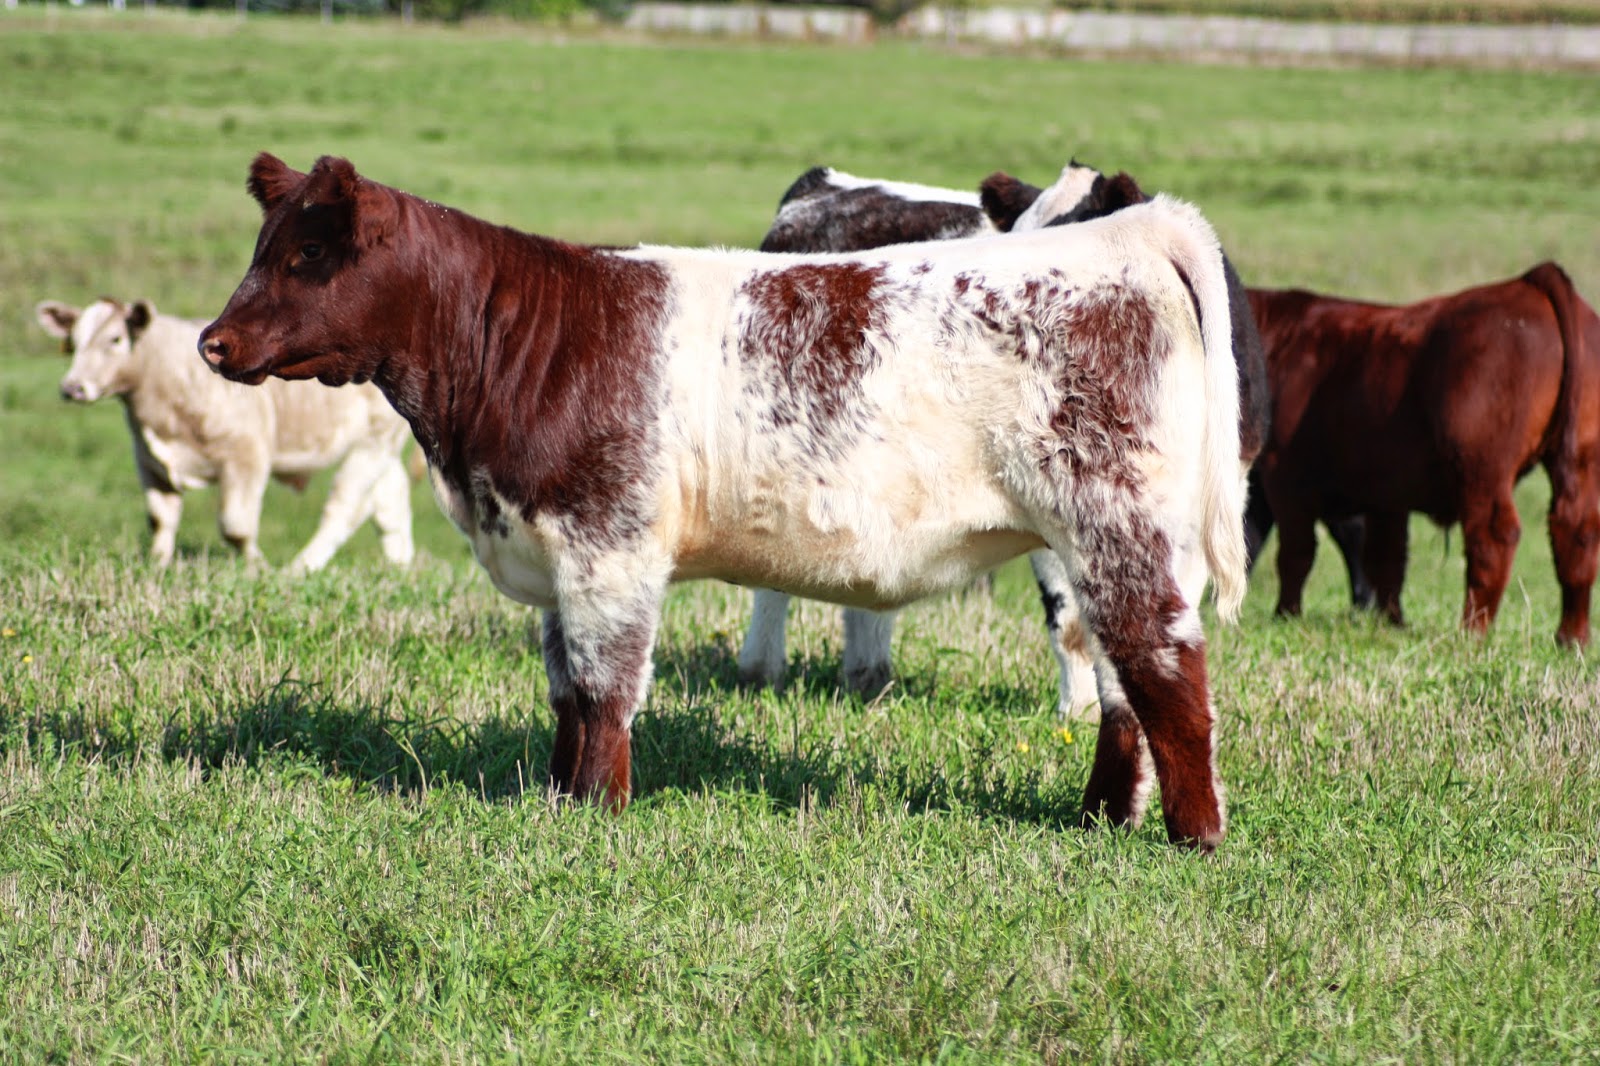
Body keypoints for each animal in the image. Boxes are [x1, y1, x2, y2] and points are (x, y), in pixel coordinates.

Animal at [36, 296, 416, 571]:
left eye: (115, 339)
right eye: (73, 343)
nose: (72, 388)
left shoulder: (246, 456)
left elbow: (235, 526)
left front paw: (258, 569)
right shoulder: (149, 461)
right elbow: (160, 520)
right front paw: (156, 567)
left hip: (373, 443)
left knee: (344, 508)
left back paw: (300, 569)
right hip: (380, 448)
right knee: (390, 500)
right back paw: (400, 569)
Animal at [199, 152, 1248, 848]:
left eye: (309, 256)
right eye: (264, 243)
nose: (213, 342)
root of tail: (1125, 236)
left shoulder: (610, 547)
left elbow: (607, 691)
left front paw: (600, 813)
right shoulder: (555, 555)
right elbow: (565, 691)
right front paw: (560, 802)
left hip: (1117, 528)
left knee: (1169, 674)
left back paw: (1195, 838)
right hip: (1106, 545)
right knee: (1122, 686)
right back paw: (1102, 818)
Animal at [1249, 264, 1600, 645]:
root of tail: (1527, 284)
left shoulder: (1283, 476)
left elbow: (1295, 555)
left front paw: (1285, 616)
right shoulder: (1385, 494)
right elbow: (1387, 558)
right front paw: (1391, 623)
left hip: (1482, 469)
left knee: (1492, 537)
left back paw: (1472, 632)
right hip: (1578, 460)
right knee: (1576, 531)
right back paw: (1571, 638)